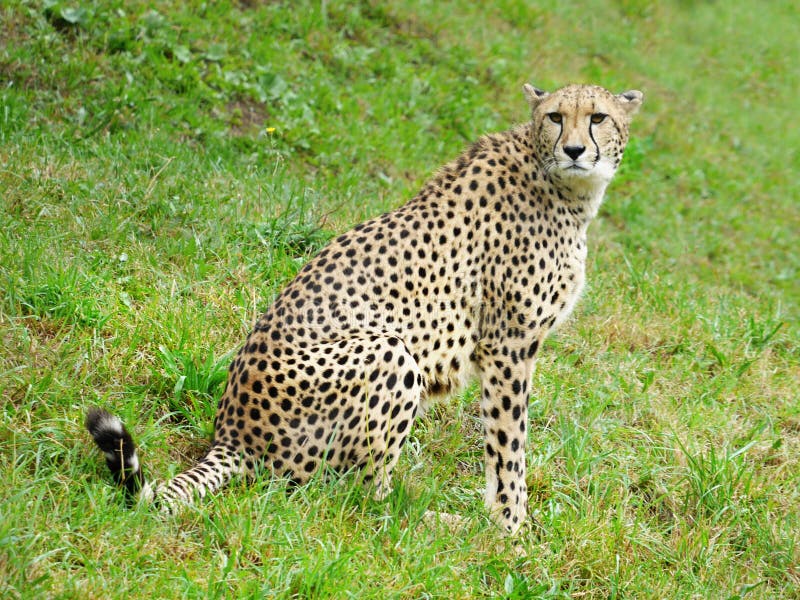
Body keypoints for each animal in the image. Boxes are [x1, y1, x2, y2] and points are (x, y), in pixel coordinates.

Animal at [87, 82, 643, 535]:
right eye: (555, 116)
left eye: (598, 117)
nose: (574, 149)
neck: (561, 184)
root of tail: (232, 434)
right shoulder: (509, 346)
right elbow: (509, 445)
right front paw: (509, 528)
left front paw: (506, 523)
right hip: (391, 351)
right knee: (357, 501)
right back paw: (437, 521)